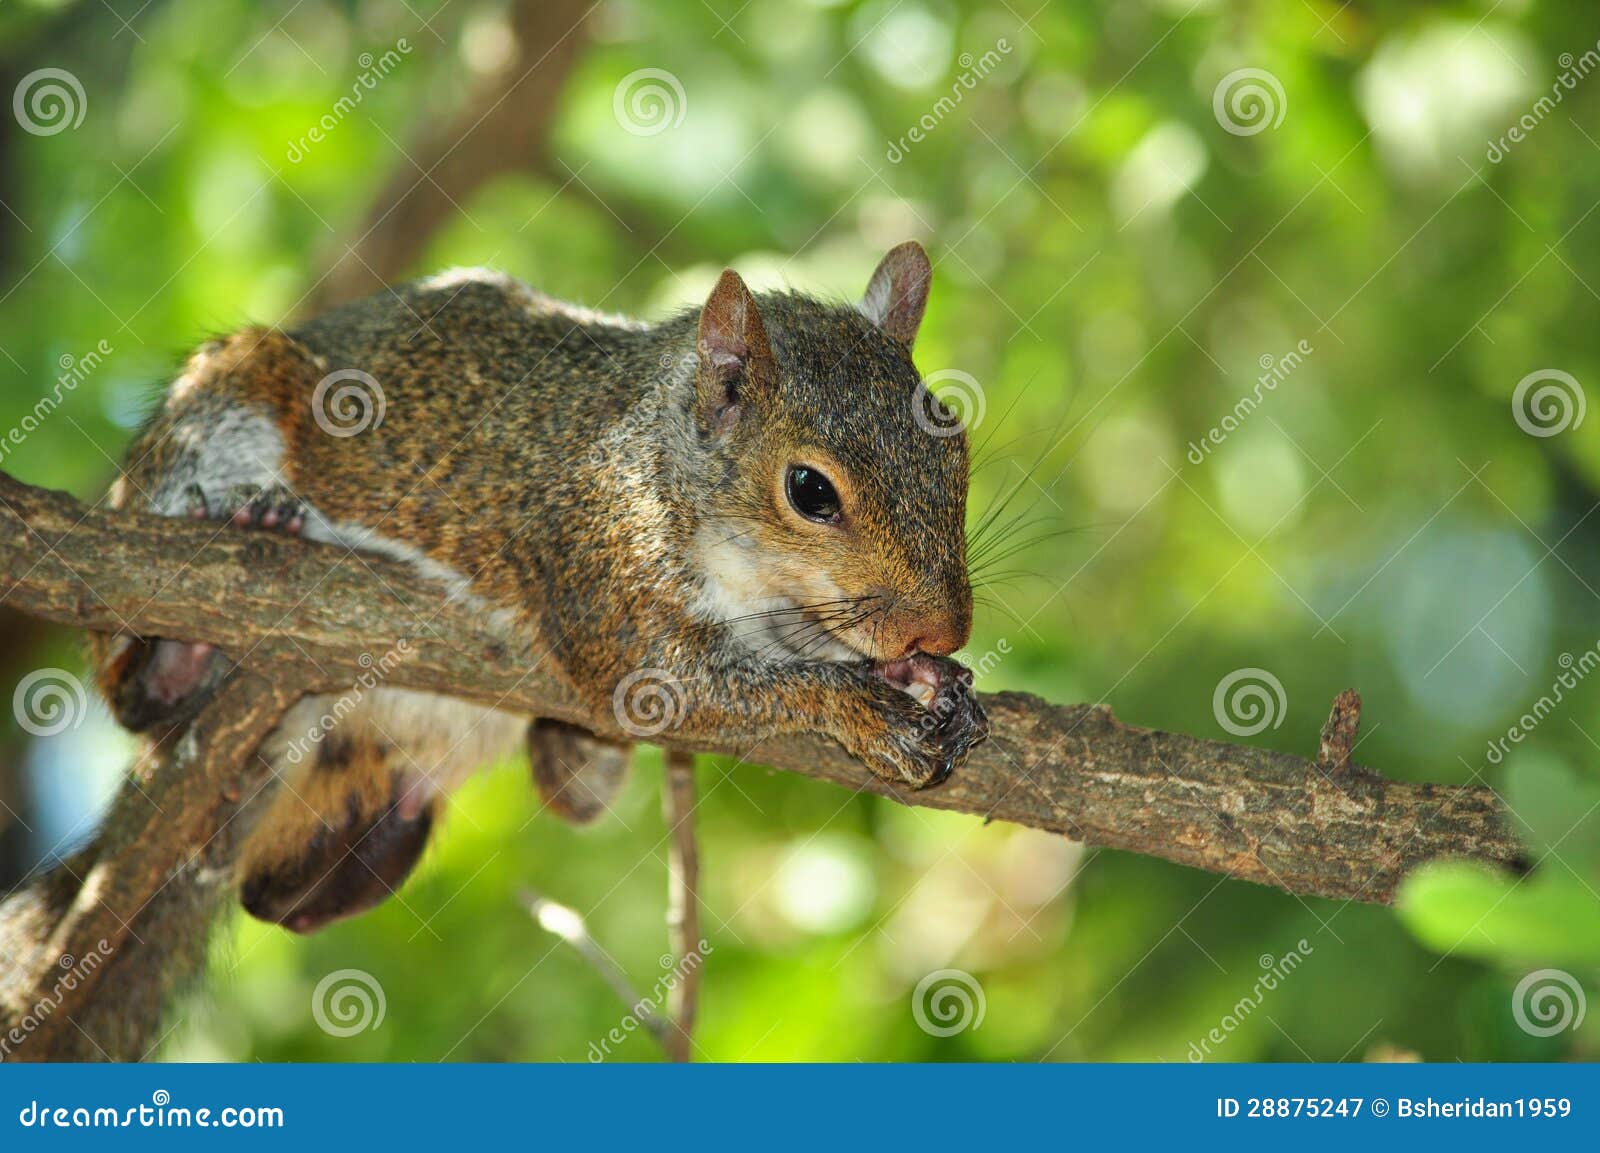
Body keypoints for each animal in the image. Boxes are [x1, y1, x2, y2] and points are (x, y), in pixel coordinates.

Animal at [89, 241, 987, 935]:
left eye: (957, 446)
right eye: (809, 490)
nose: (942, 629)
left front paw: (927, 678)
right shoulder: (601, 565)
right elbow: (687, 685)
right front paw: (866, 709)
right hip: (225, 399)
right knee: (127, 689)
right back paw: (189, 632)